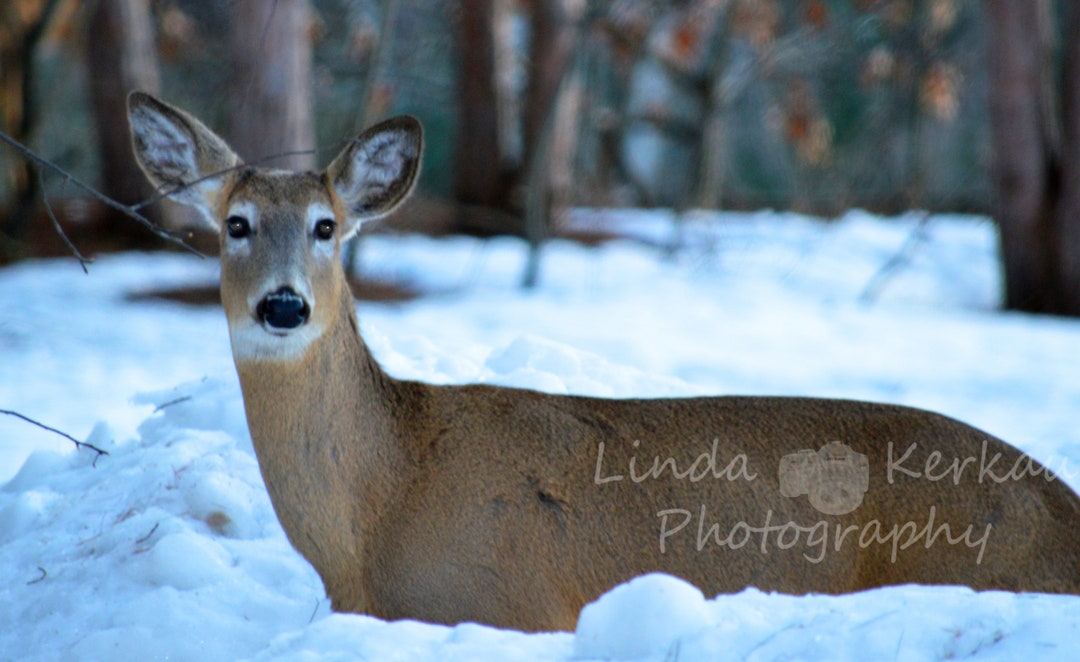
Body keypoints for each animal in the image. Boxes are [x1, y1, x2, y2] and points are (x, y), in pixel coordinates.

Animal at [127, 91, 1080, 633]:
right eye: (236, 224)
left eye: (327, 228)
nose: (284, 305)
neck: (378, 515)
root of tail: (1063, 506)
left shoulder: (516, 603)